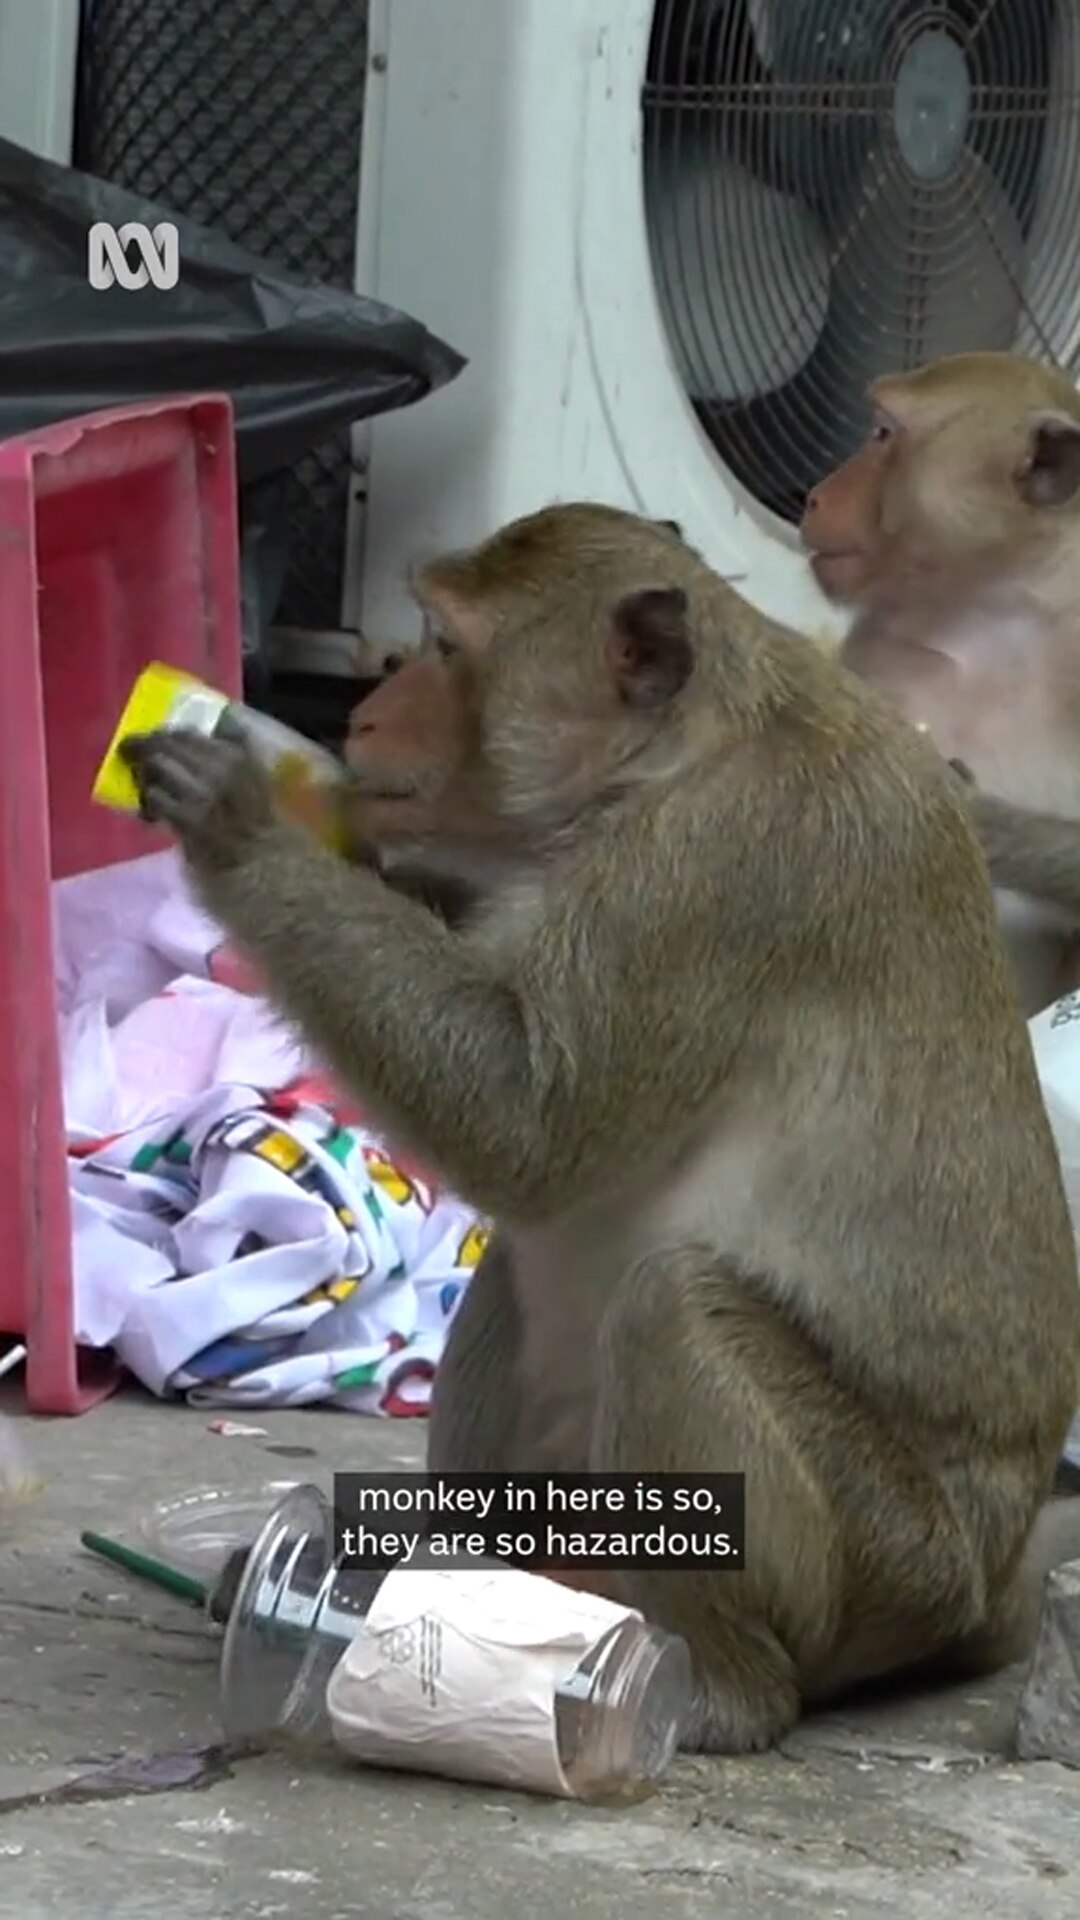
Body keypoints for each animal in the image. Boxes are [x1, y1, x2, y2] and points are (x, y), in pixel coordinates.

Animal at [117, 501, 1080, 1755]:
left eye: (445, 645)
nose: (365, 714)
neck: (676, 754)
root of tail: (996, 1586)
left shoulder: (712, 870)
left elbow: (525, 1123)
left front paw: (245, 827)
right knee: (516, 1281)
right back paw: (461, 1575)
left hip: (896, 1567)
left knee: (672, 1302)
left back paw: (711, 1687)